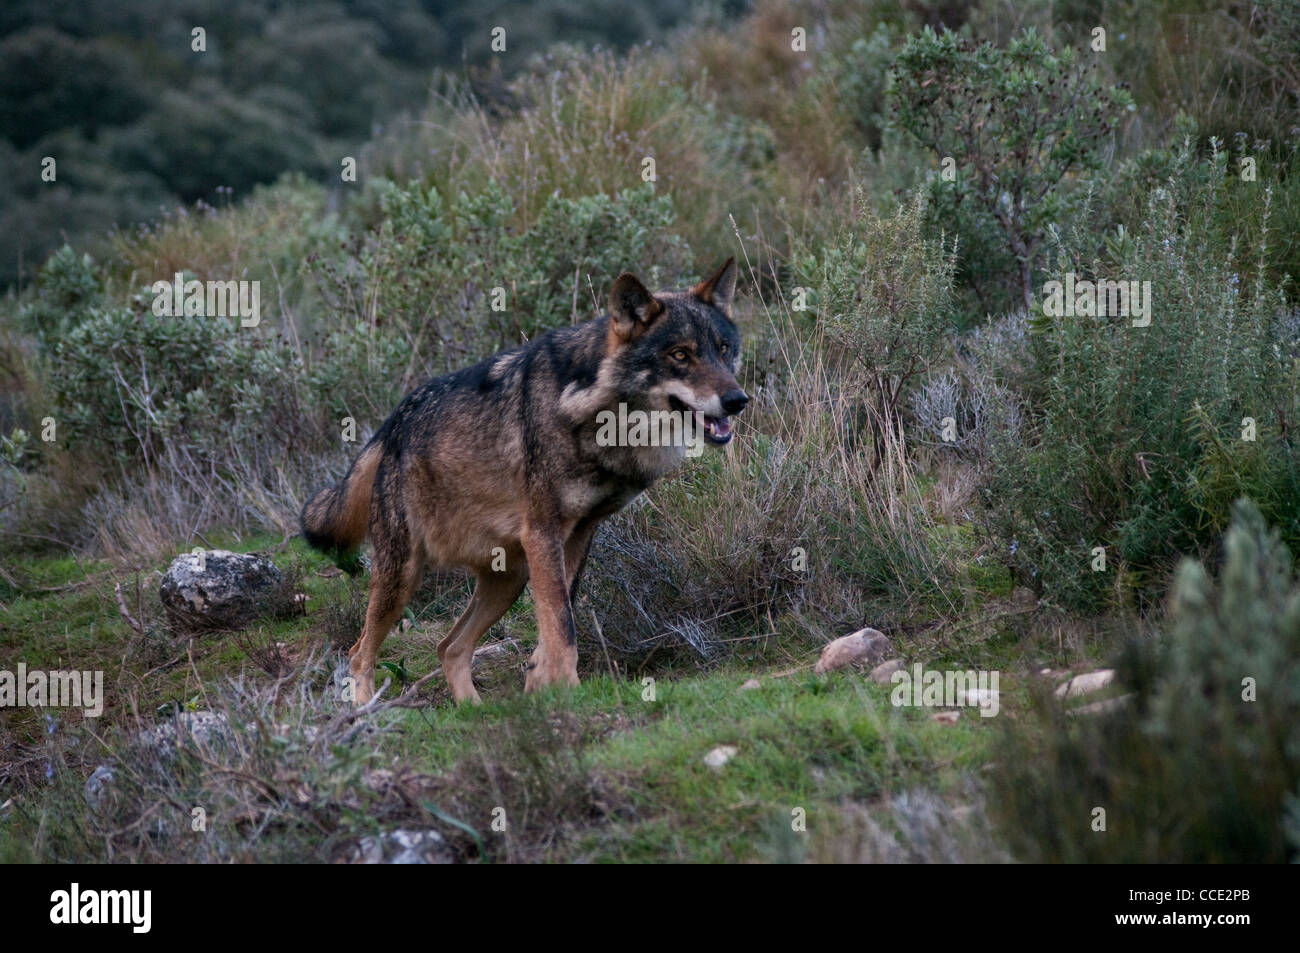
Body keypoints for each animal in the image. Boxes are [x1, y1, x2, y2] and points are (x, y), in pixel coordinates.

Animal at [301, 259, 747, 705]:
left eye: (723, 350)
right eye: (680, 355)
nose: (737, 400)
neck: (597, 413)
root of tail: (393, 422)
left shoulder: (578, 536)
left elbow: (553, 629)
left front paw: (541, 688)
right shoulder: (543, 533)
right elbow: (562, 630)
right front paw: (569, 693)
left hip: (507, 579)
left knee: (449, 647)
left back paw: (474, 711)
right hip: (404, 574)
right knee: (360, 652)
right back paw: (366, 710)